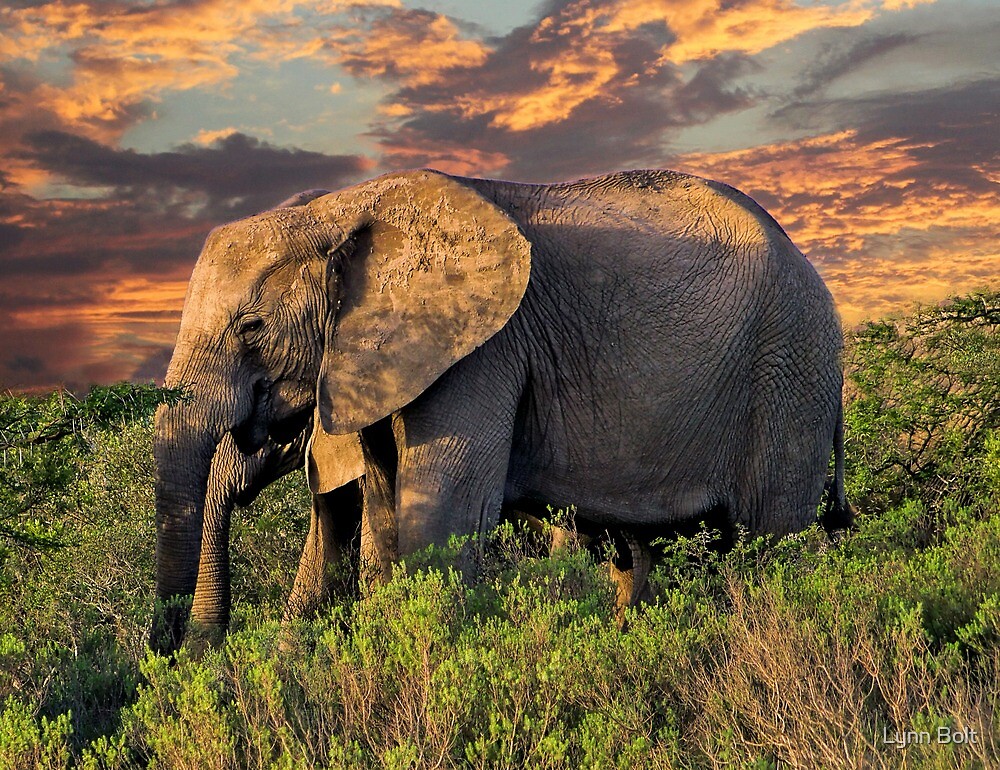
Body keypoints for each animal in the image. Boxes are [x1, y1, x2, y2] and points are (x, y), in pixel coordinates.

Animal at [150, 168, 851, 654]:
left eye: (252, 327)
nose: (172, 655)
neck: (342, 209)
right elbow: (384, 523)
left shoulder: (482, 351)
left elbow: (441, 521)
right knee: (650, 551)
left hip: (790, 367)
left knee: (770, 540)